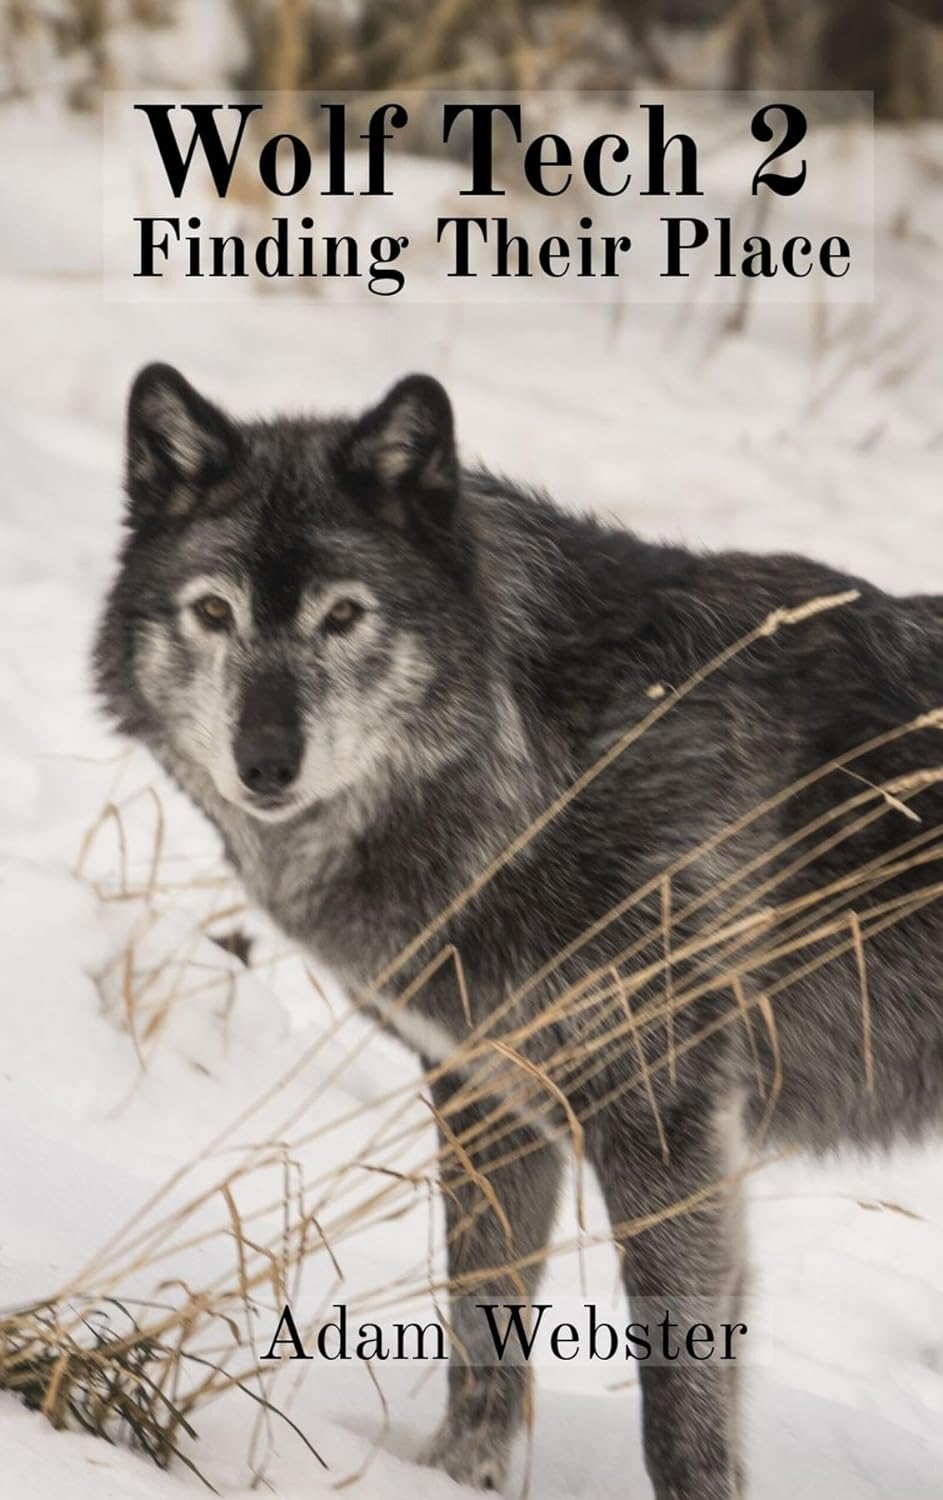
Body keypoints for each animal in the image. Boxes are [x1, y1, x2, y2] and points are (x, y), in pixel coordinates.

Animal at [95, 364, 943, 1499]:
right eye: (213, 612)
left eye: (344, 615)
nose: (265, 762)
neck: (538, 754)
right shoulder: (485, 1097)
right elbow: (480, 1330)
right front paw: (458, 1477)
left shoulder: (662, 1123)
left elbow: (680, 1409)